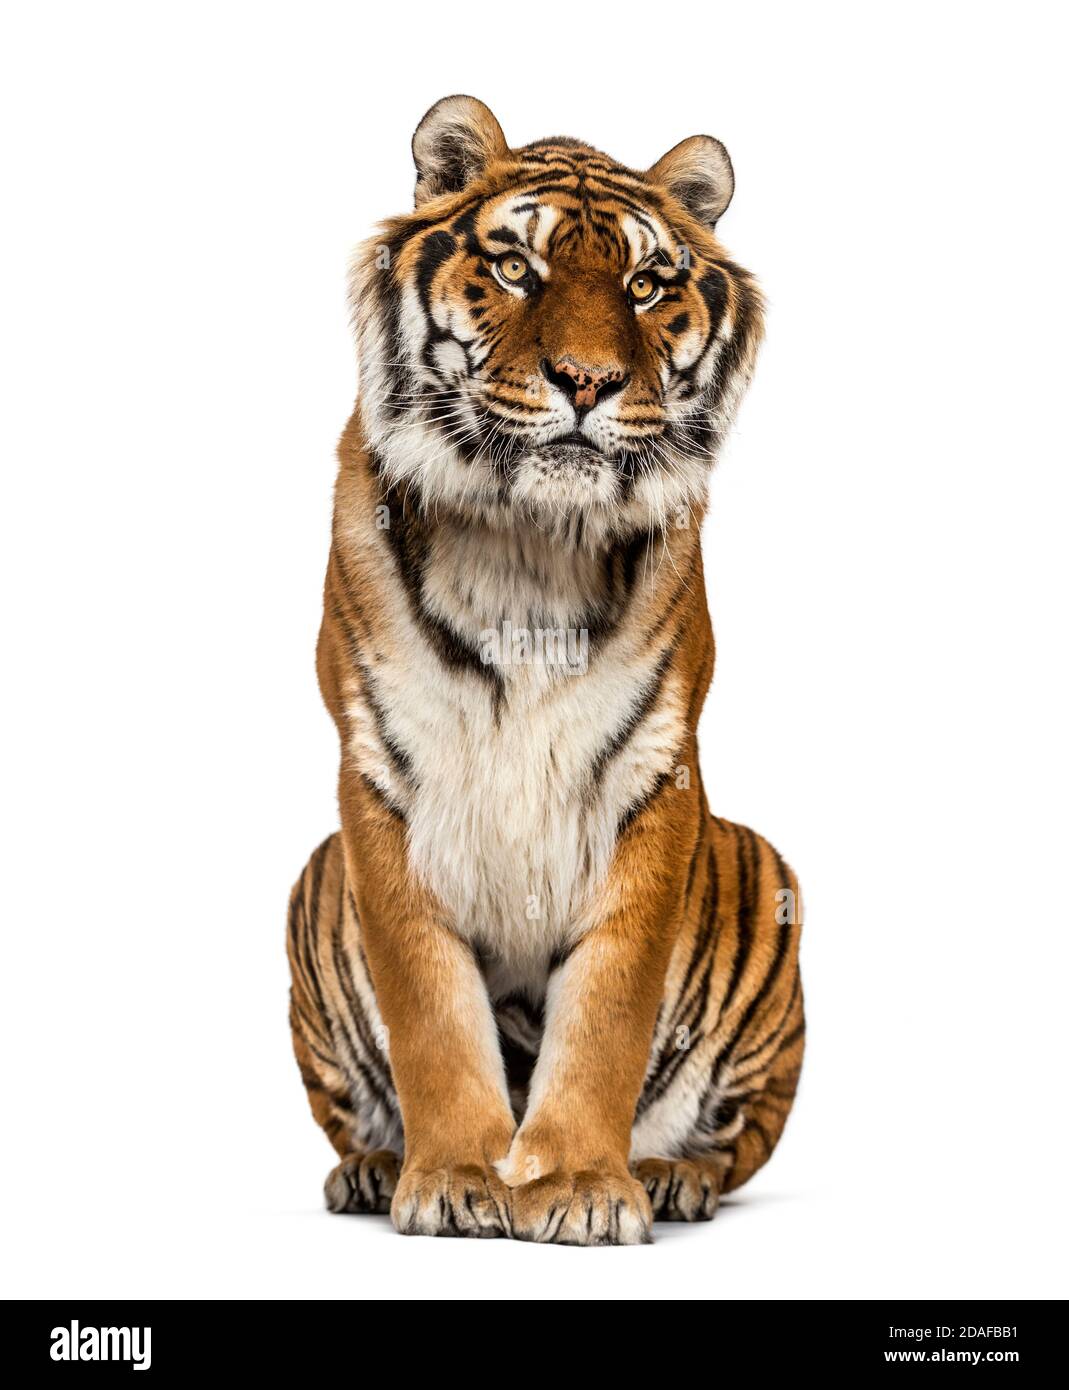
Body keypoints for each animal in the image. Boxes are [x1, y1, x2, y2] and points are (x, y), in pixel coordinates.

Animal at [287, 95, 804, 1245]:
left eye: (646, 285)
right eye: (516, 268)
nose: (588, 381)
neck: (527, 547)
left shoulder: (653, 775)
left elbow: (608, 1009)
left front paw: (575, 1182)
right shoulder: (380, 776)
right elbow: (429, 1008)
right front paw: (455, 1177)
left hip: (765, 871)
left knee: (738, 1137)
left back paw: (668, 1175)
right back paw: (373, 1168)